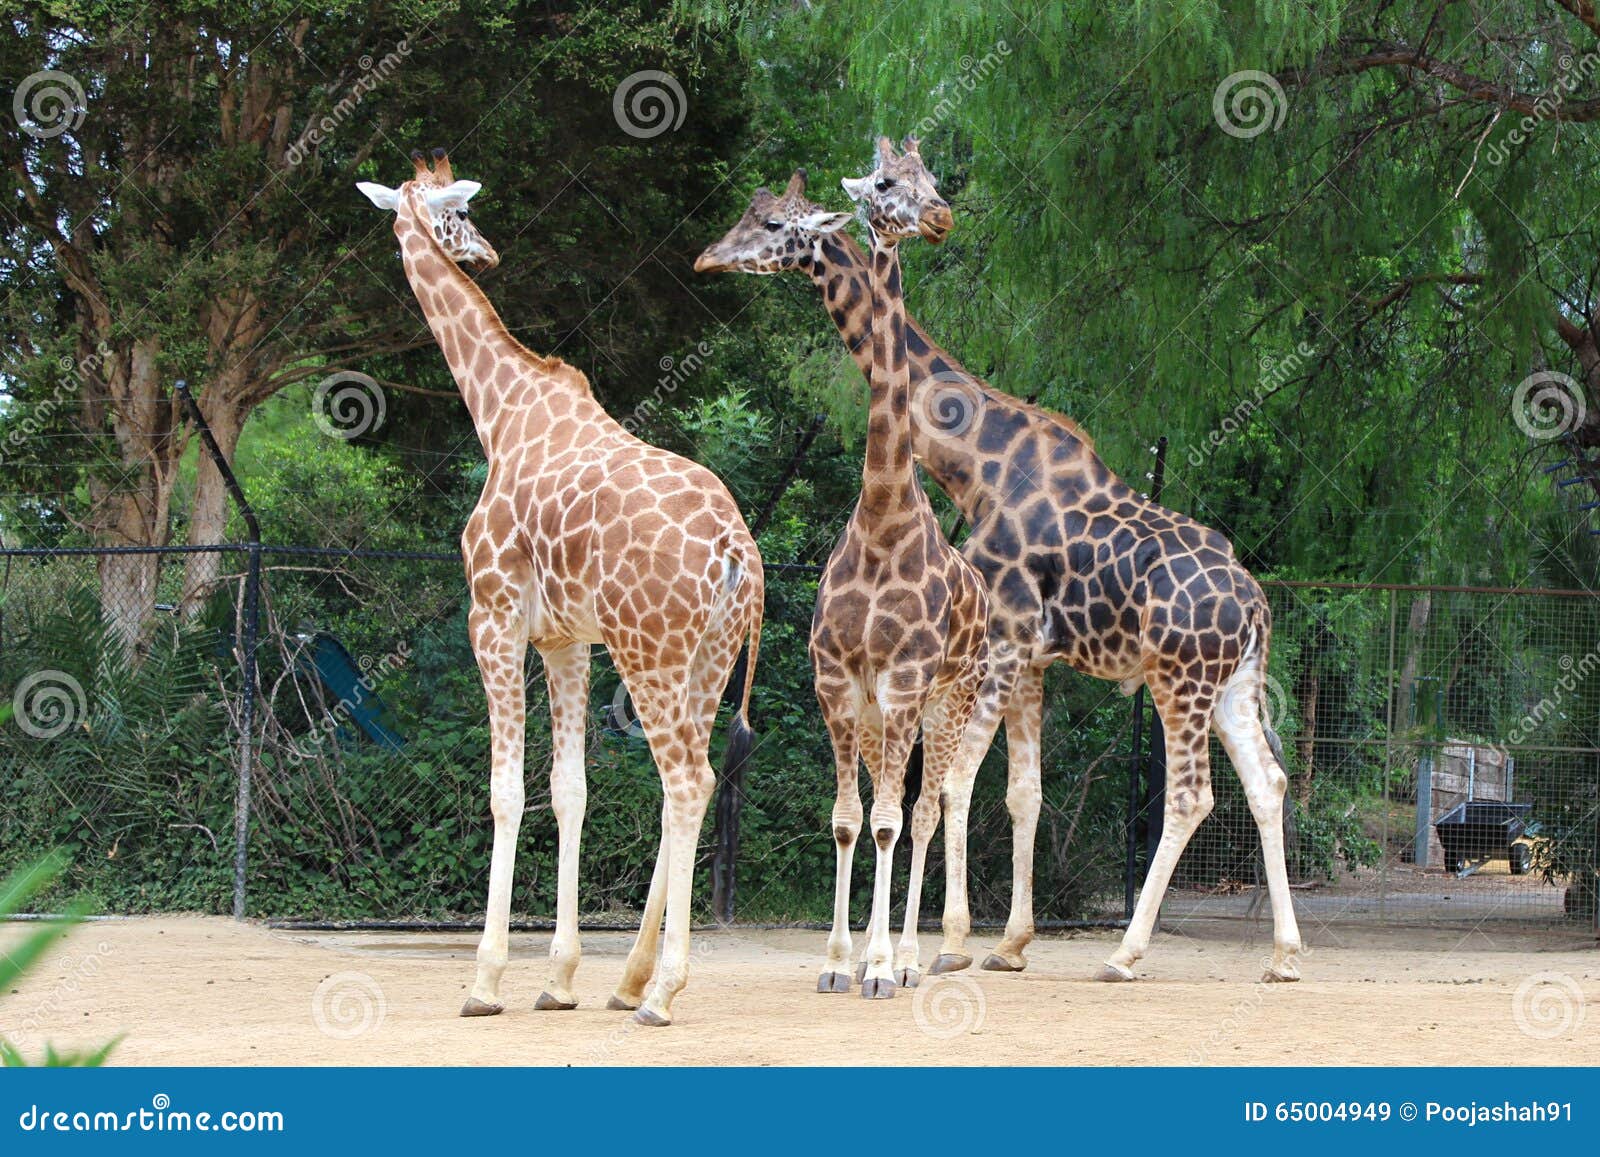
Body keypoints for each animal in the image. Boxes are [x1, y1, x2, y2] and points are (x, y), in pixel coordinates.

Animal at [358, 150, 763, 1026]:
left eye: (456, 212)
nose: (483, 252)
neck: (499, 412)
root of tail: (737, 552)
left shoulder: (494, 617)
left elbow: (507, 791)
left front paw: (485, 979)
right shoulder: (566, 639)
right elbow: (570, 789)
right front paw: (560, 975)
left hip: (649, 651)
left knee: (687, 779)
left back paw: (662, 991)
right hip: (707, 658)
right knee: (695, 778)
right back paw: (631, 978)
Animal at [695, 167, 1303, 984]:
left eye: (769, 223)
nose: (708, 258)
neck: (975, 467)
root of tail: (1257, 608)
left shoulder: (1003, 646)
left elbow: (954, 784)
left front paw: (948, 943)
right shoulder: (1033, 659)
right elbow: (1023, 794)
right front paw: (1010, 943)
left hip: (1180, 680)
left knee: (1188, 797)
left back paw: (1125, 952)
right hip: (1234, 683)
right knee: (1266, 784)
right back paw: (1285, 955)